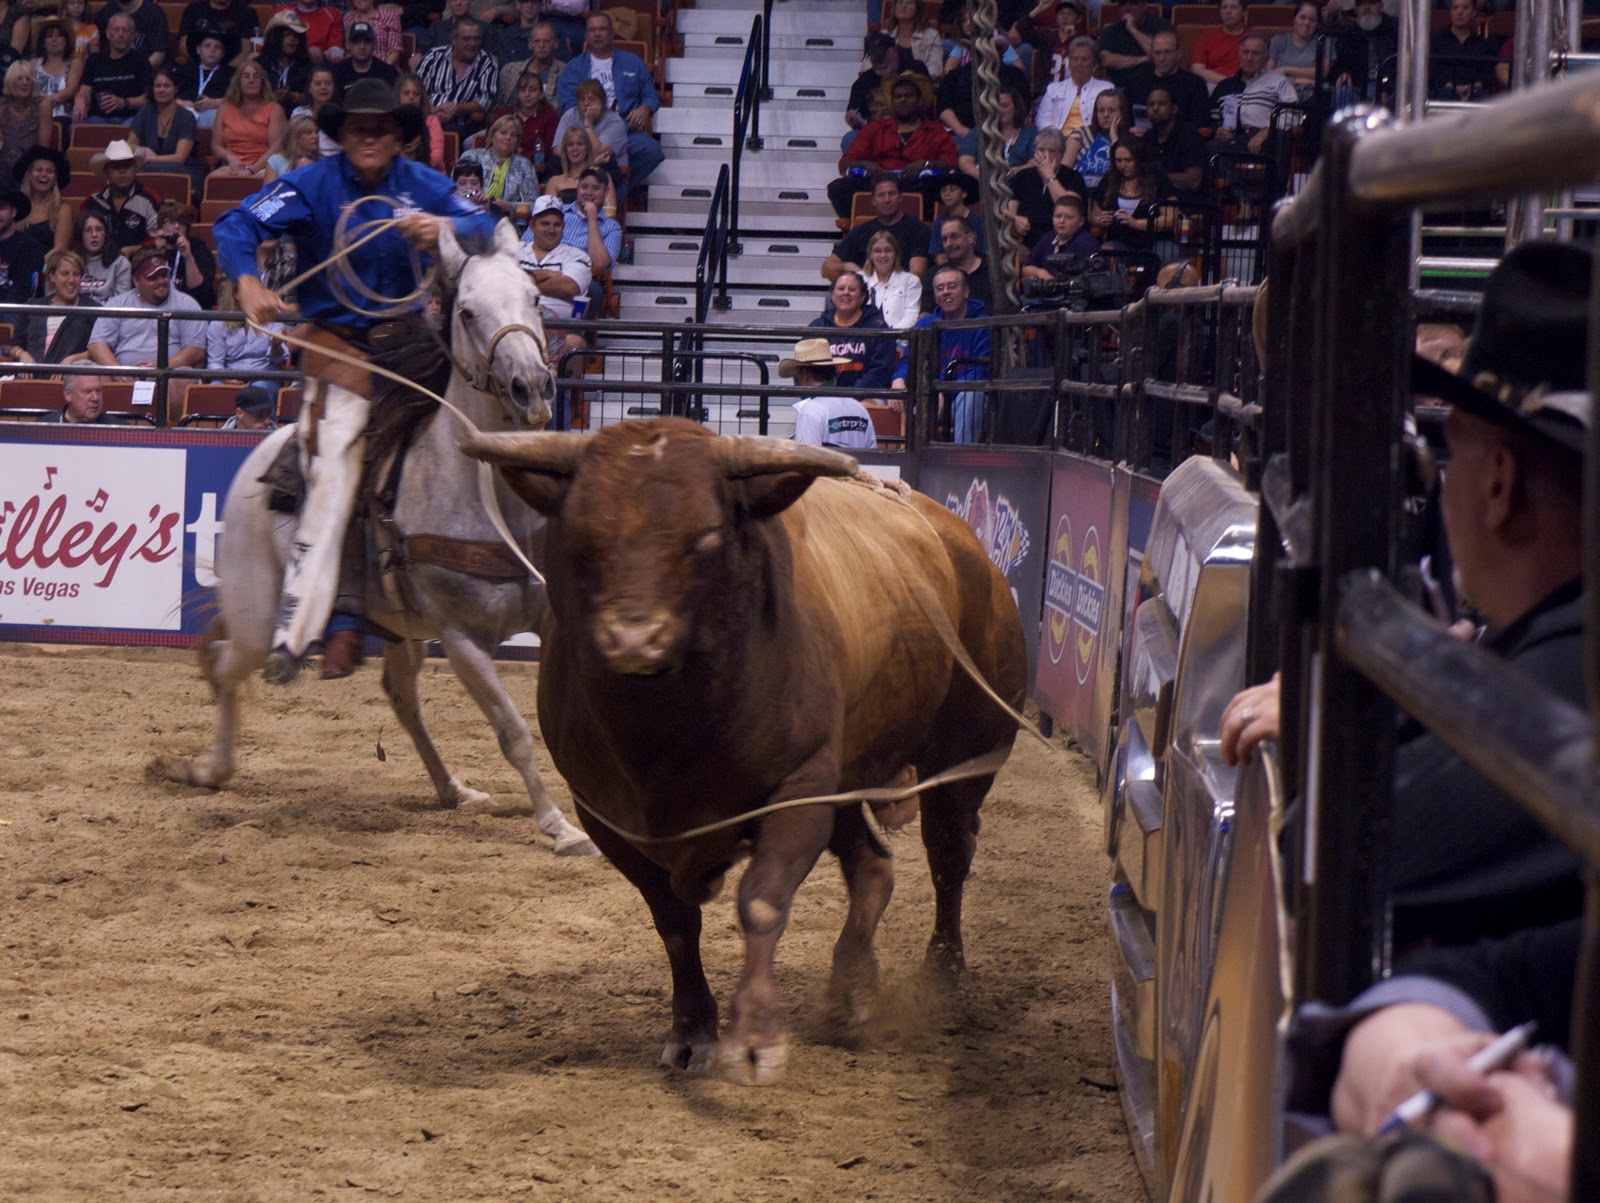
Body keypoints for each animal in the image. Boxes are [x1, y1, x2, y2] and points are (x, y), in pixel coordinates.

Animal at [463, 418, 1027, 1085]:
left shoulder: (800, 790)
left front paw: (756, 1036)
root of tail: (968, 548)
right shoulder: (606, 817)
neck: (667, 723)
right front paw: (692, 1031)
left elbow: (761, 899)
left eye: (705, 536)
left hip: (961, 758)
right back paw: (852, 991)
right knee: (873, 867)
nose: (633, 638)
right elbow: (674, 922)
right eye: (582, 533)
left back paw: (942, 973)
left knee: (947, 855)